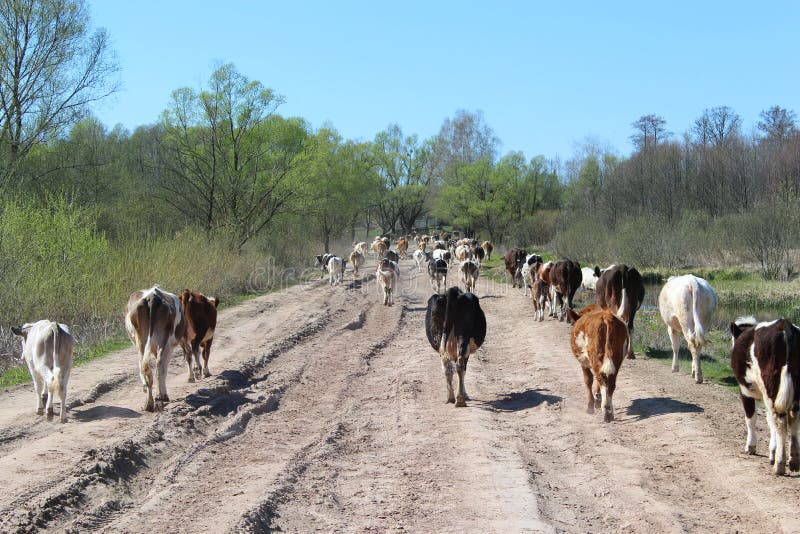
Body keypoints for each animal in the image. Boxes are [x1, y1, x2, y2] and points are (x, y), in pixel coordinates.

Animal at [730, 317, 800, 475]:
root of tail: (784, 324)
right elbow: (768, 420)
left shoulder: (744, 391)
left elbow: (751, 418)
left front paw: (751, 446)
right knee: (794, 418)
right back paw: (793, 460)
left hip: (770, 387)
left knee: (780, 422)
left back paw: (779, 464)